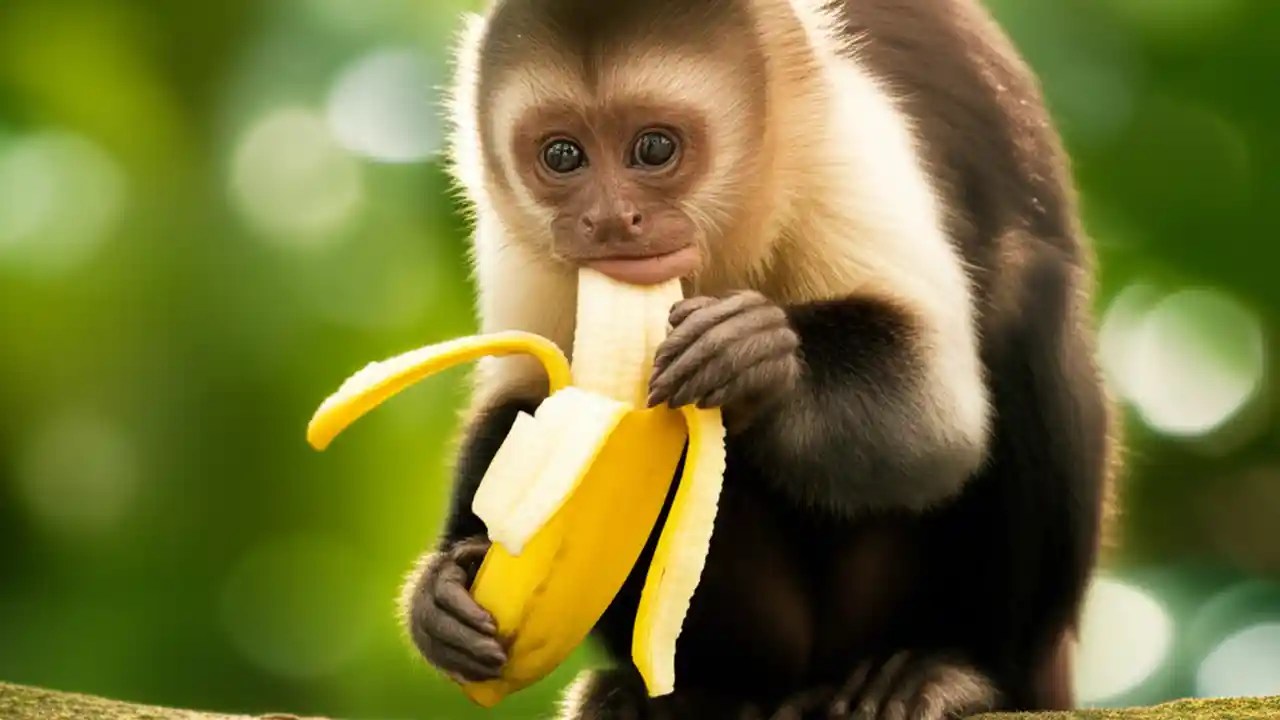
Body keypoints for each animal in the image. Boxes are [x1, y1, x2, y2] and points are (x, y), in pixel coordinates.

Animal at [398, 0, 1116, 718]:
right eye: (562, 156)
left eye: (654, 148)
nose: (608, 221)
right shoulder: (511, 229)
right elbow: (522, 397)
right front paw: (446, 585)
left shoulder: (847, 142)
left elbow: (940, 419)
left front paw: (760, 365)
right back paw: (692, 692)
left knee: (1030, 292)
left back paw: (956, 670)